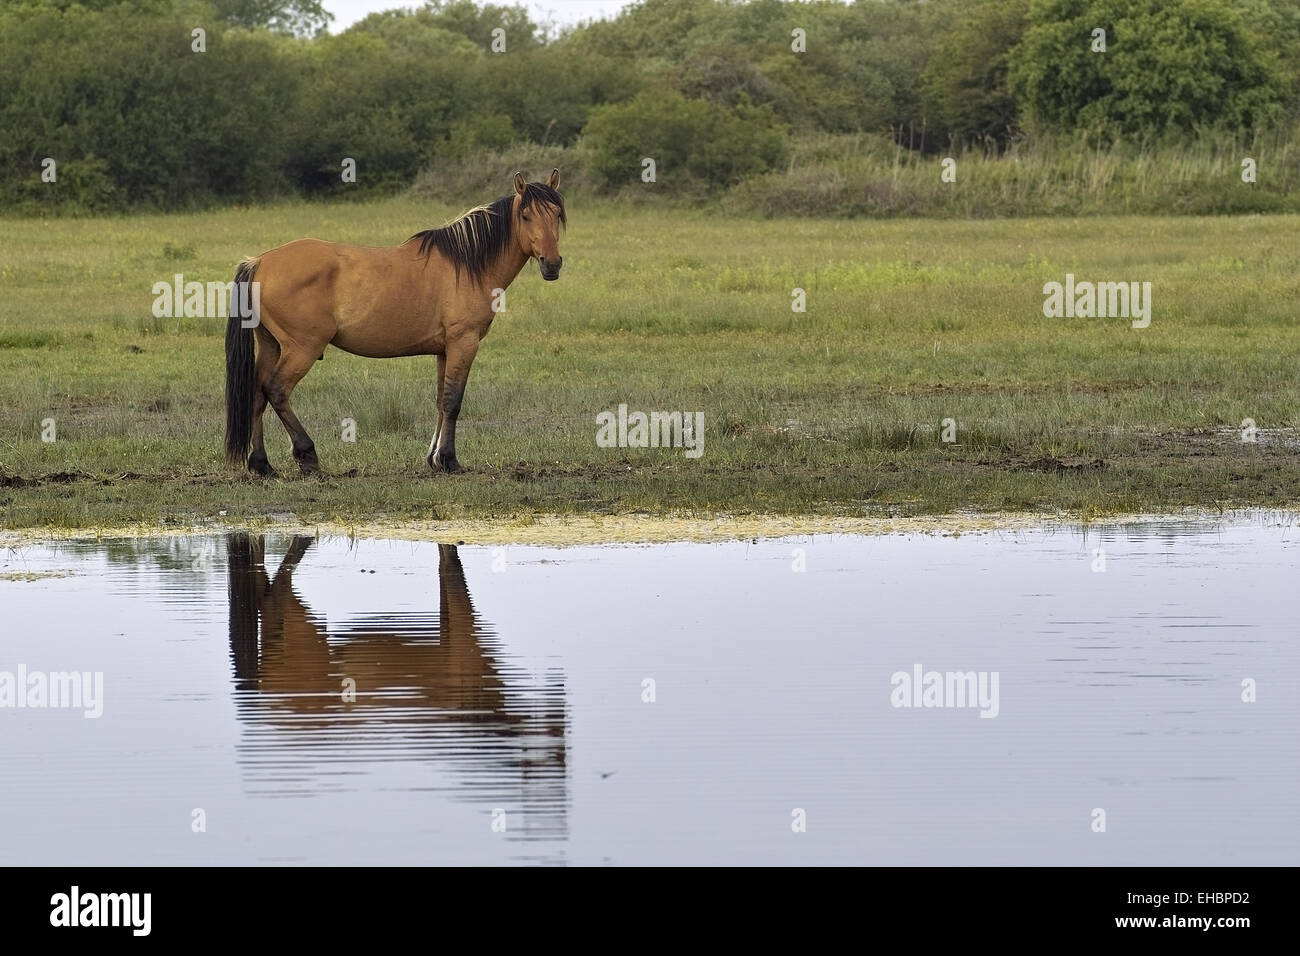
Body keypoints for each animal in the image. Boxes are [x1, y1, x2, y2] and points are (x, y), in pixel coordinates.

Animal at [224, 169, 565, 477]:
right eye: (525, 216)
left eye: (556, 215)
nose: (552, 264)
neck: (467, 264)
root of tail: (260, 262)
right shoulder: (463, 343)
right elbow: (453, 402)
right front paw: (449, 460)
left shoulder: (444, 351)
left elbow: (440, 401)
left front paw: (434, 458)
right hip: (302, 348)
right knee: (277, 390)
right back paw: (307, 456)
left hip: (270, 344)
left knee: (257, 394)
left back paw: (262, 465)